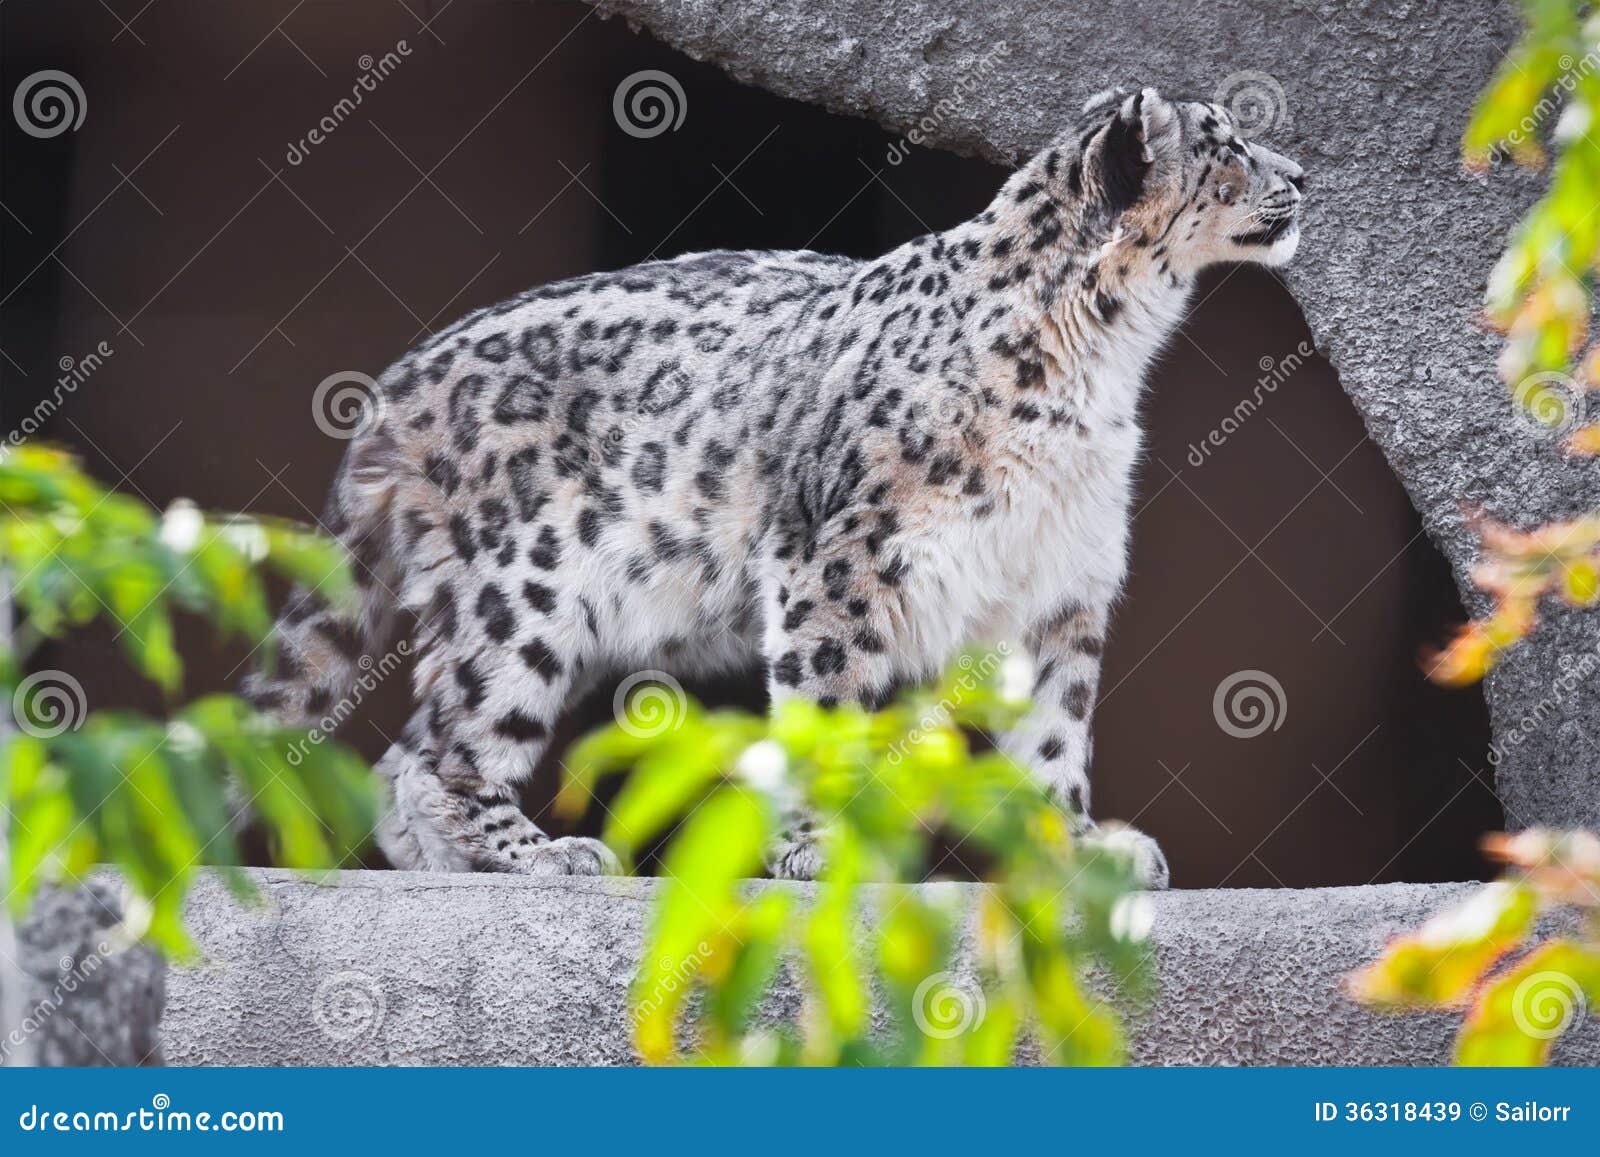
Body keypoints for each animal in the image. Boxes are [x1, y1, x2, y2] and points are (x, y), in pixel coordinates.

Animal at [243, 86, 1305, 888]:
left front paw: (1081, 845)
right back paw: (540, 854)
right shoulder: (838, 563)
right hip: (523, 594)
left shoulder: (1062, 581)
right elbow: (825, 704)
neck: (1104, 369)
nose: (1304, 175)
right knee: (448, 741)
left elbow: (1054, 732)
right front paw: (818, 848)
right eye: (1229, 142)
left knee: (405, 749)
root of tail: (400, 381)